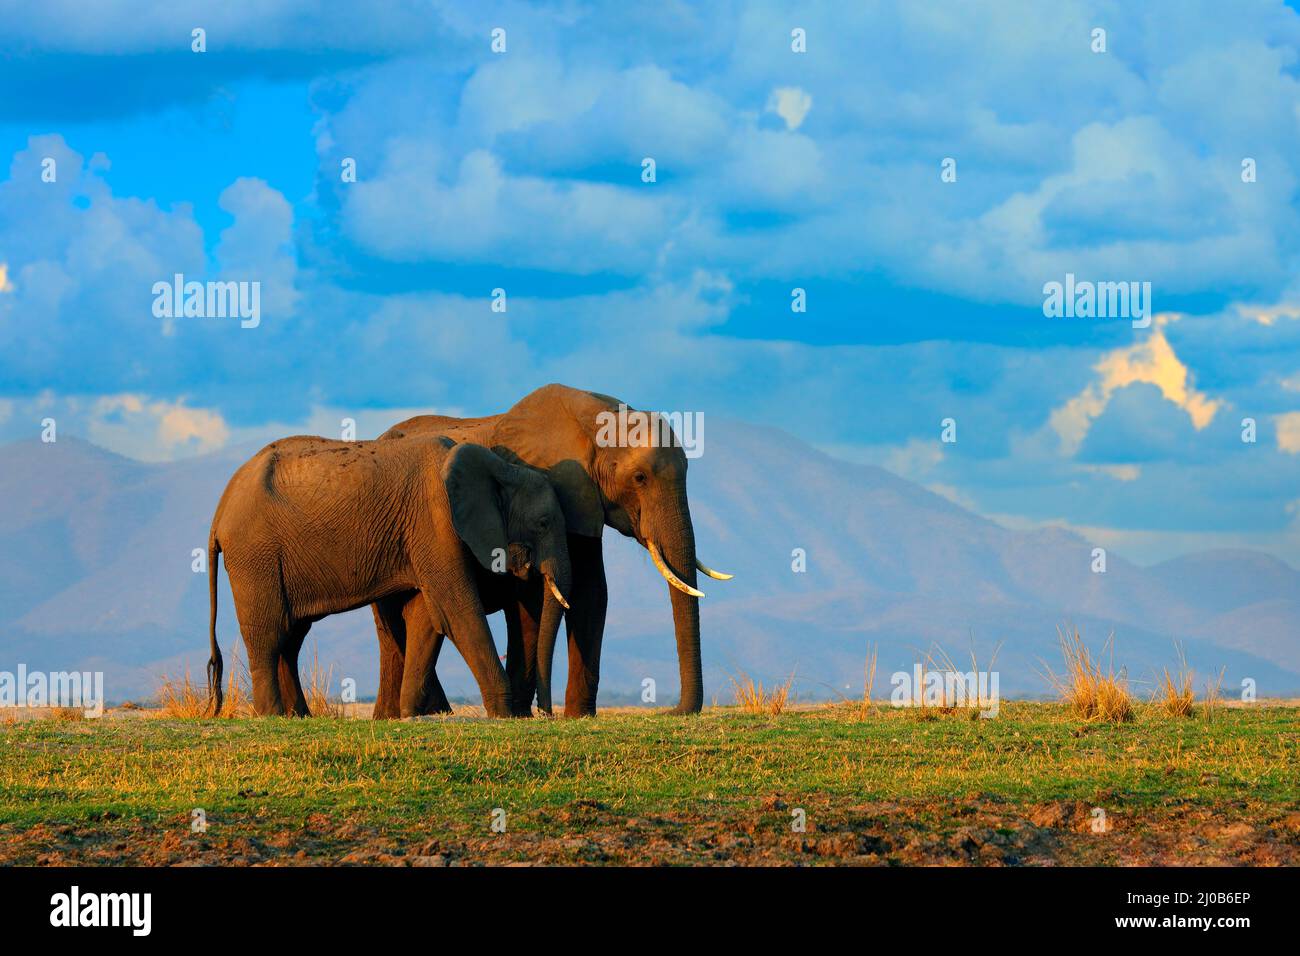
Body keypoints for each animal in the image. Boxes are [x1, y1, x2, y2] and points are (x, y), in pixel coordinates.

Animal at [204, 433, 572, 717]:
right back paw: (273, 715)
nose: (546, 714)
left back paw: (298, 716)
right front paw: (504, 714)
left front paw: (409, 713)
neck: (501, 468)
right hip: (255, 557)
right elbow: (457, 612)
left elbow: (426, 616)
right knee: (268, 632)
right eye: (543, 523)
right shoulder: (436, 523)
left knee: (290, 636)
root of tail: (219, 512)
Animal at [370, 384, 732, 719]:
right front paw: (523, 715)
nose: (673, 711)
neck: (596, 420)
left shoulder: (584, 499)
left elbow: (591, 593)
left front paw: (578, 716)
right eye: (640, 478)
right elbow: (534, 599)